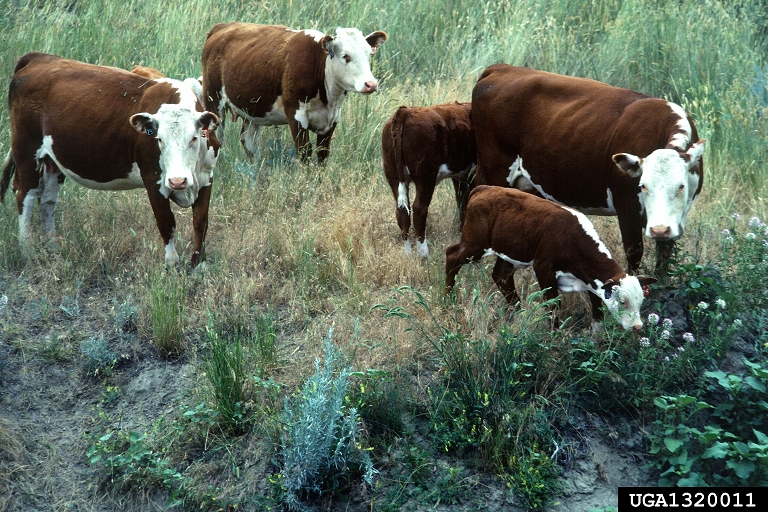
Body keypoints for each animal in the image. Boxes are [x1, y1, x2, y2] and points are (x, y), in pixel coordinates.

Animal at [0, 52, 220, 268]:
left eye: (194, 137)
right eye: (159, 139)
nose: (177, 181)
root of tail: (39, 57)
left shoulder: (206, 178)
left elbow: (200, 222)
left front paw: (198, 264)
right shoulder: (154, 180)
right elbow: (166, 223)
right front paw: (172, 265)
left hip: (53, 160)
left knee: (47, 198)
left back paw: (53, 247)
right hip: (26, 149)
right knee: (25, 194)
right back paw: (28, 250)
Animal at [201, 22, 387, 164]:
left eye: (369, 55)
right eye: (345, 56)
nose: (371, 84)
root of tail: (223, 26)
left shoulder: (332, 118)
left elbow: (322, 154)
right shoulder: (296, 115)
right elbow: (305, 152)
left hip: (254, 110)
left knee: (248, 141)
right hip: (213, 100)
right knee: (216, 139)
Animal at [382, 102, 476, 257]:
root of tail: (404, 112)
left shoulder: (460, 175)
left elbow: (462, 201)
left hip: (393, 174)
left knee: (402, 212)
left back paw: (408, 254)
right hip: (425, 176)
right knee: (419, 209)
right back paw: (424, 254)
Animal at [445, 186, 657, 331]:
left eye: (640, 301)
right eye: (623, 302)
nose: (638, 326)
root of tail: (485, 188)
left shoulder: (592, 279)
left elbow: (597, 306)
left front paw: (595, 334)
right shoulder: (543, 267)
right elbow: (553, 304)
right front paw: (554, 333)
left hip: (510, 252)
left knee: (501, 276)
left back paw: (519, 312)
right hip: (475, 244)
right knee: (451, 255)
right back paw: (449, 297)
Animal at [471, 64, 705, 273]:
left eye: (681, 186)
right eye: (642, 186)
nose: (659, 230)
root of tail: (501, 68)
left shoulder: (675, 218)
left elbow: (665, 257)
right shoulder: (627, 205)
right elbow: (634, 253)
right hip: (495, 172)